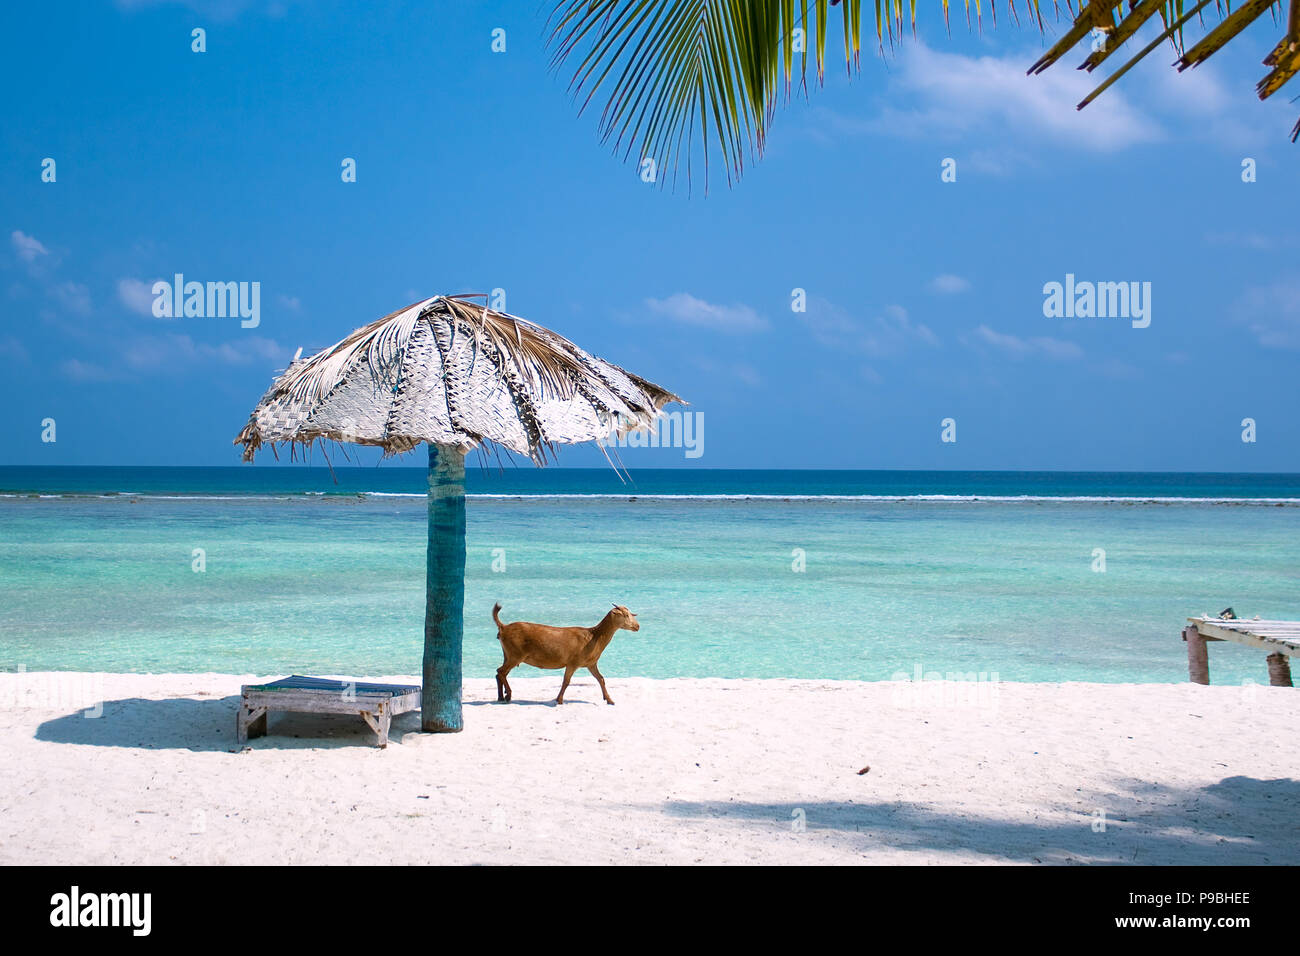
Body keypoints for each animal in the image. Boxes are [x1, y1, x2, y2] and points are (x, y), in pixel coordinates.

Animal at [492, 603, 640, 705]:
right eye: (625, 615)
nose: (637, 626)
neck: (594, 636)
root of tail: (503, 627)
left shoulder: (591, 664)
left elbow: (601, 679)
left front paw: (609, 700)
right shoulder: (573, 663)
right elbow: (566, 681)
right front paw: (559, 699)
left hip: (508, 655)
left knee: (500, 673)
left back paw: (501, 697)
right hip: (515, 655)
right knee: (501, 671)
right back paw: (508, 695)